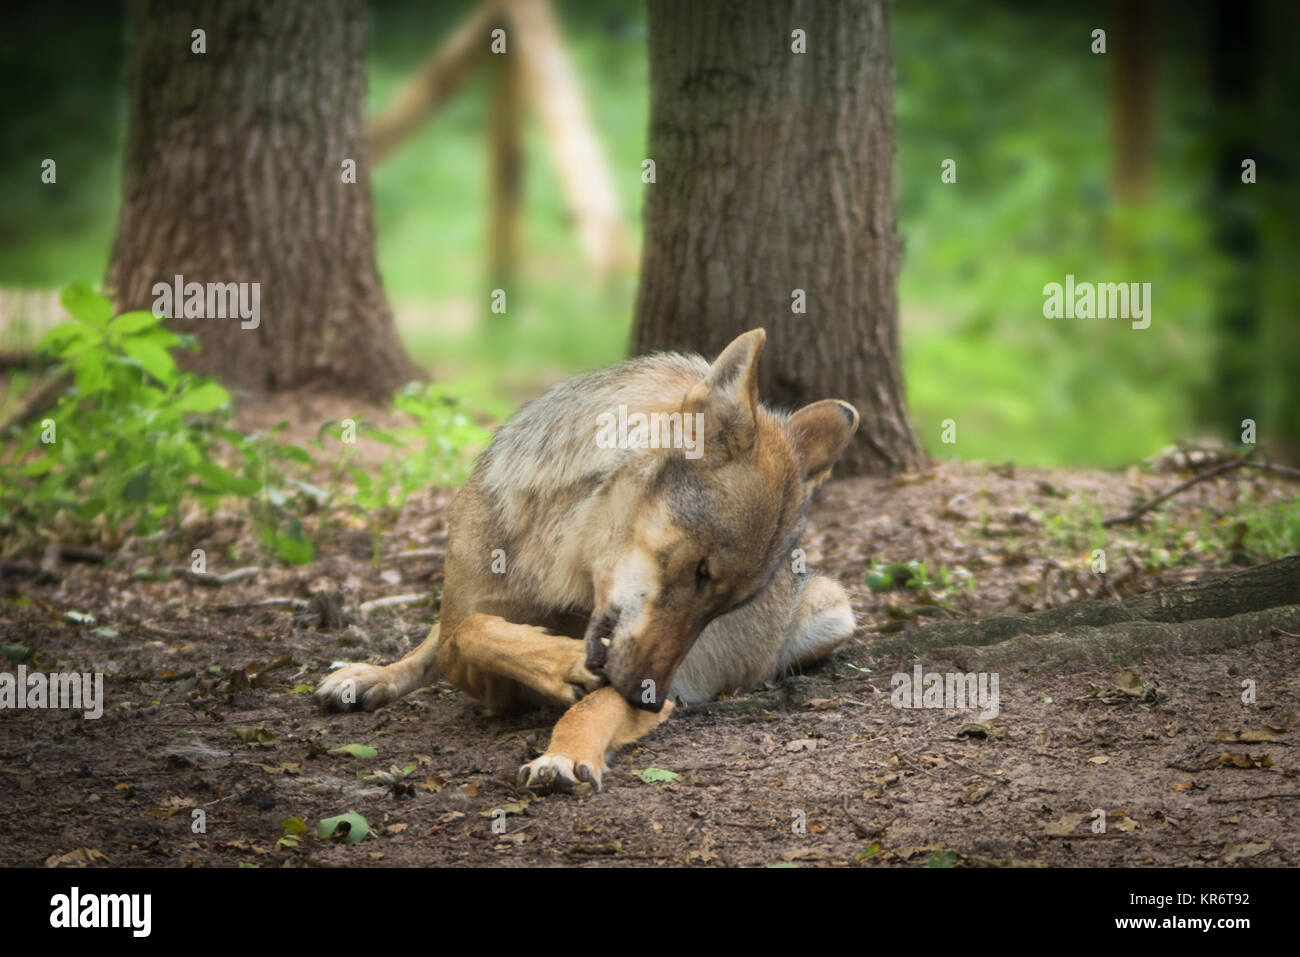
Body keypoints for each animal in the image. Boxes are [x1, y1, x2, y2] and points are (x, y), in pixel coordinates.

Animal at [316, 329, 860, 791]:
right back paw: (365, 676)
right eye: (701, 572)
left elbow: (587, 707)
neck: (553, 563)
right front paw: (561, 661)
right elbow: (460, 640)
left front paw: (562, 754)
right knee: (434, 640)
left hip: (835, 609)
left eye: (725, 607)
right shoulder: (484, 640)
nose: (647, 697)